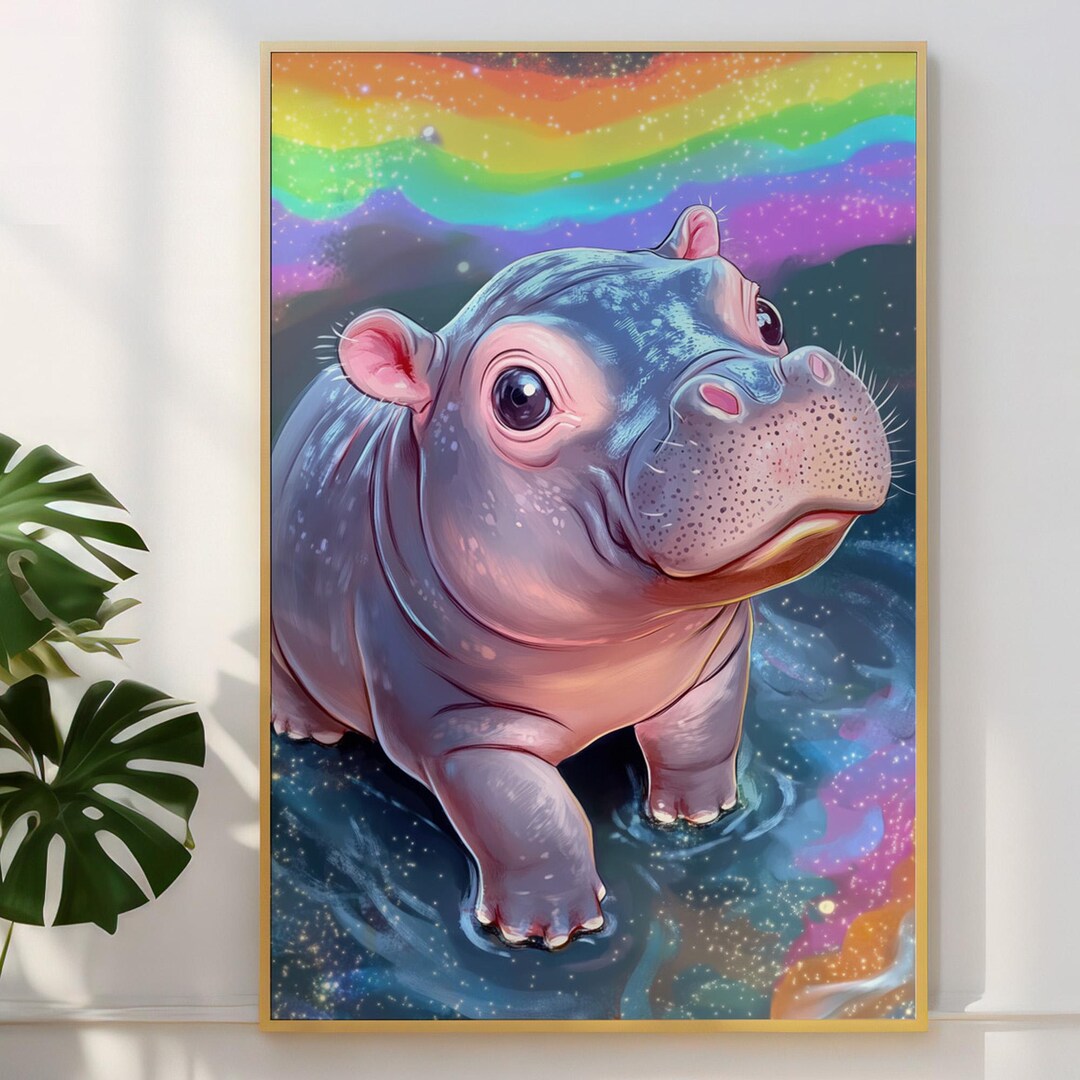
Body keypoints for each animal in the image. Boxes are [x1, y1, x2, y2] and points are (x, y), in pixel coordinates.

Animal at [271, 205, 892, 950]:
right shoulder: (458, 729)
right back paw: (307, 731)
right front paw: (551, 932)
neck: (620, 646)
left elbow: (700, 734)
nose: (762, 384)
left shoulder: (718, 656)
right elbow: (529, 820)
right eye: (520, 396)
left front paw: (703, 817)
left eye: (767, 316)